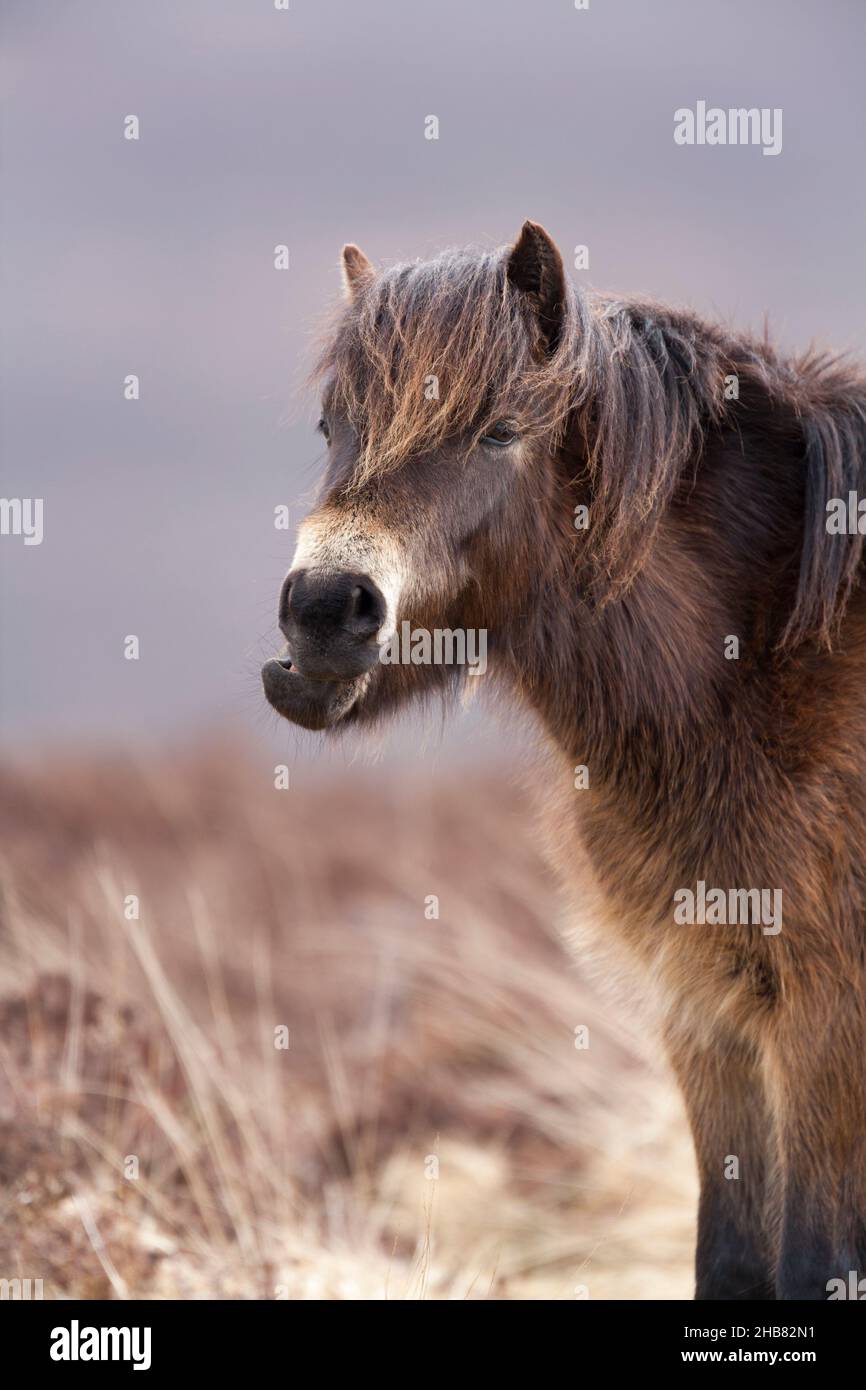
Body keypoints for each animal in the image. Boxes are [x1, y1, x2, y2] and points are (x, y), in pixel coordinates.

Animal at [262, 220, 866, 1300]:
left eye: (501, 431)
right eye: (332, 427)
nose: (325, 612)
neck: (773, 660)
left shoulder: (825, 1021)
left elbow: (810, 1259)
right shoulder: (707, 1015)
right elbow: (733, 1255)